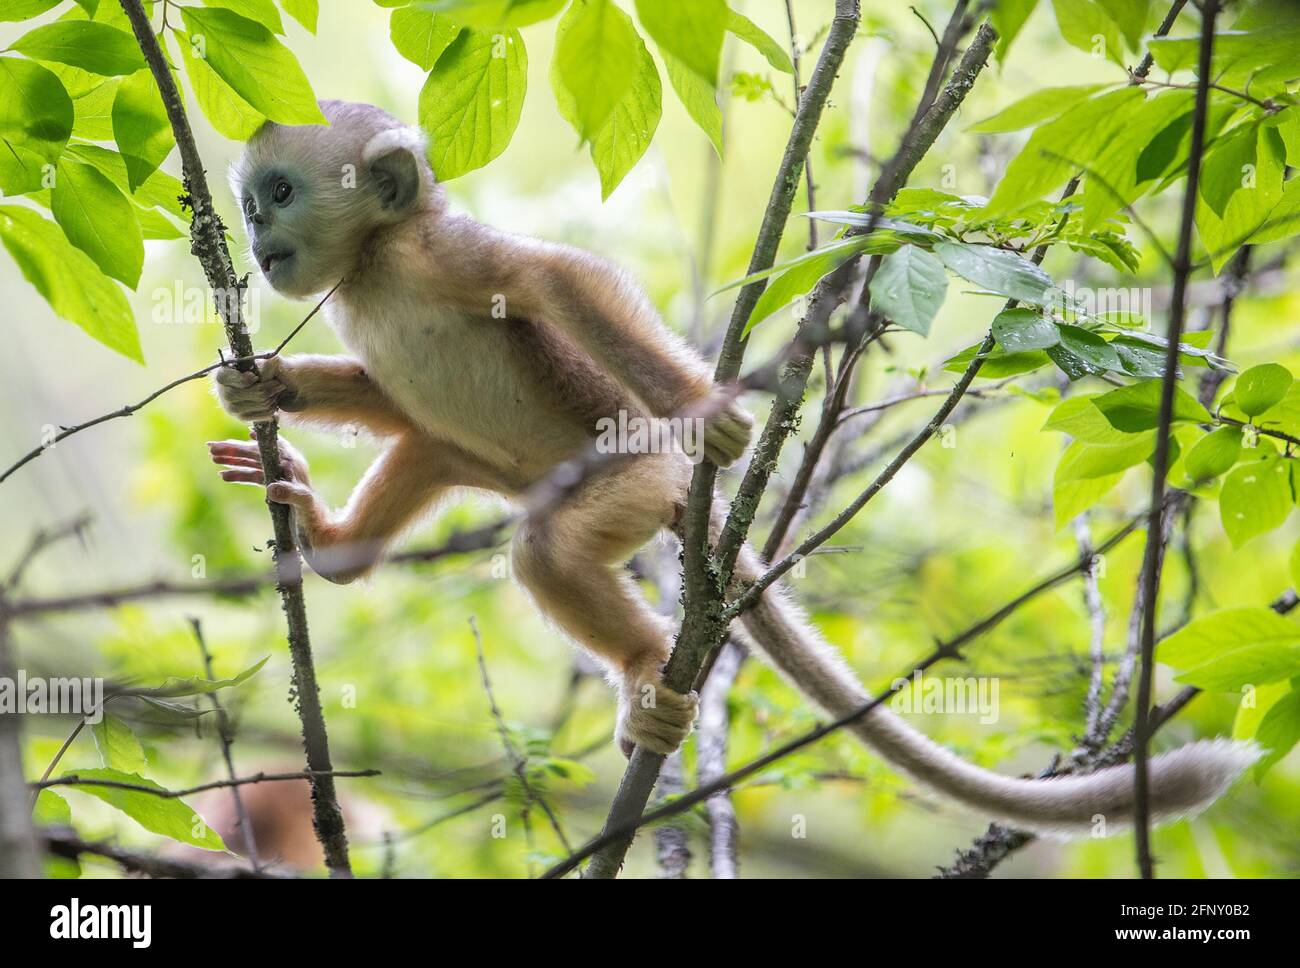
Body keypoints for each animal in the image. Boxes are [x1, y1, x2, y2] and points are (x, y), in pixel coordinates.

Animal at [209, 100, 1257, 840]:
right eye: (254, 197)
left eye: (283, 191)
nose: (254, 229)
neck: (377, 262)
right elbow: (390, 392)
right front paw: (262, 388)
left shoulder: (444, 253)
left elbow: (554, 281)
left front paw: (709, 412)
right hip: (485, 461)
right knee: (427, 441)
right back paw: (328, 540)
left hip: (638, 481)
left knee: (548, 550)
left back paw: (643, 668)